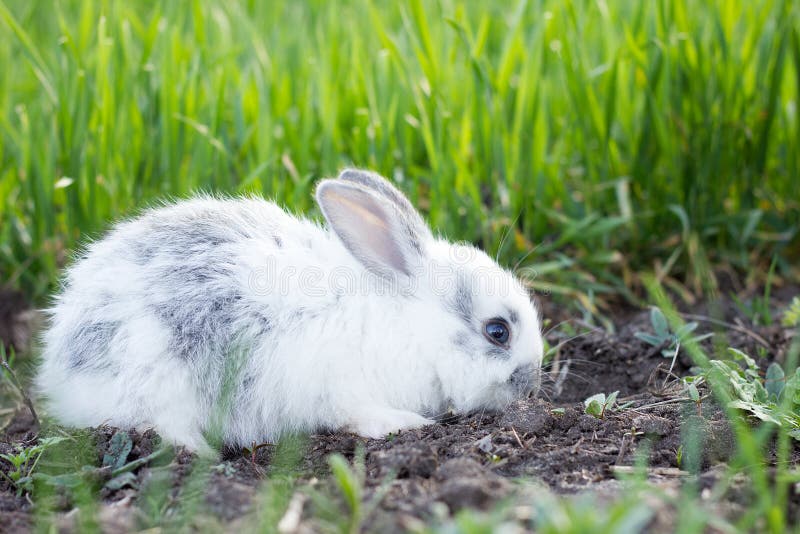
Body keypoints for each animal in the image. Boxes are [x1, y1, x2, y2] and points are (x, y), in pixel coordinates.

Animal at [36, 169, 544, 451]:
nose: (533, 380)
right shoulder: (341, 387)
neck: (411, 327)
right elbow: (356, 414)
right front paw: (406, 424)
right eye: (498, 331)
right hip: (154, 374)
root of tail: (58, 364)